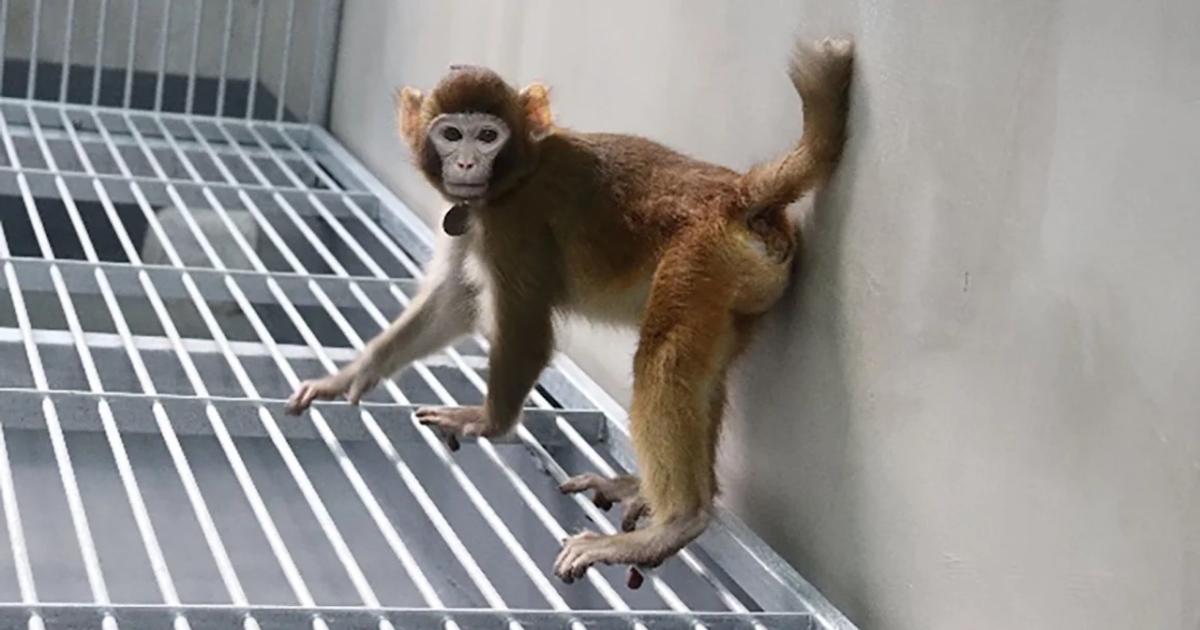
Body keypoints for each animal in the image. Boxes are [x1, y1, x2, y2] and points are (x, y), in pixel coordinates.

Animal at [285, 37, 854, 584]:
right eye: (451, 134)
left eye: (486, 136)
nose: (465, 164)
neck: (516, 174)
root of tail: (738, 195)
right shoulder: (474, 217)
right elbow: (454, 301)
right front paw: (351, 375)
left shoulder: (515, 224)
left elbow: (527, 330)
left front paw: (489, 422)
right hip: (736, 286)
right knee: (699, 371)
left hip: (700, 257)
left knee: (664, 360)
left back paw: (676, 522)